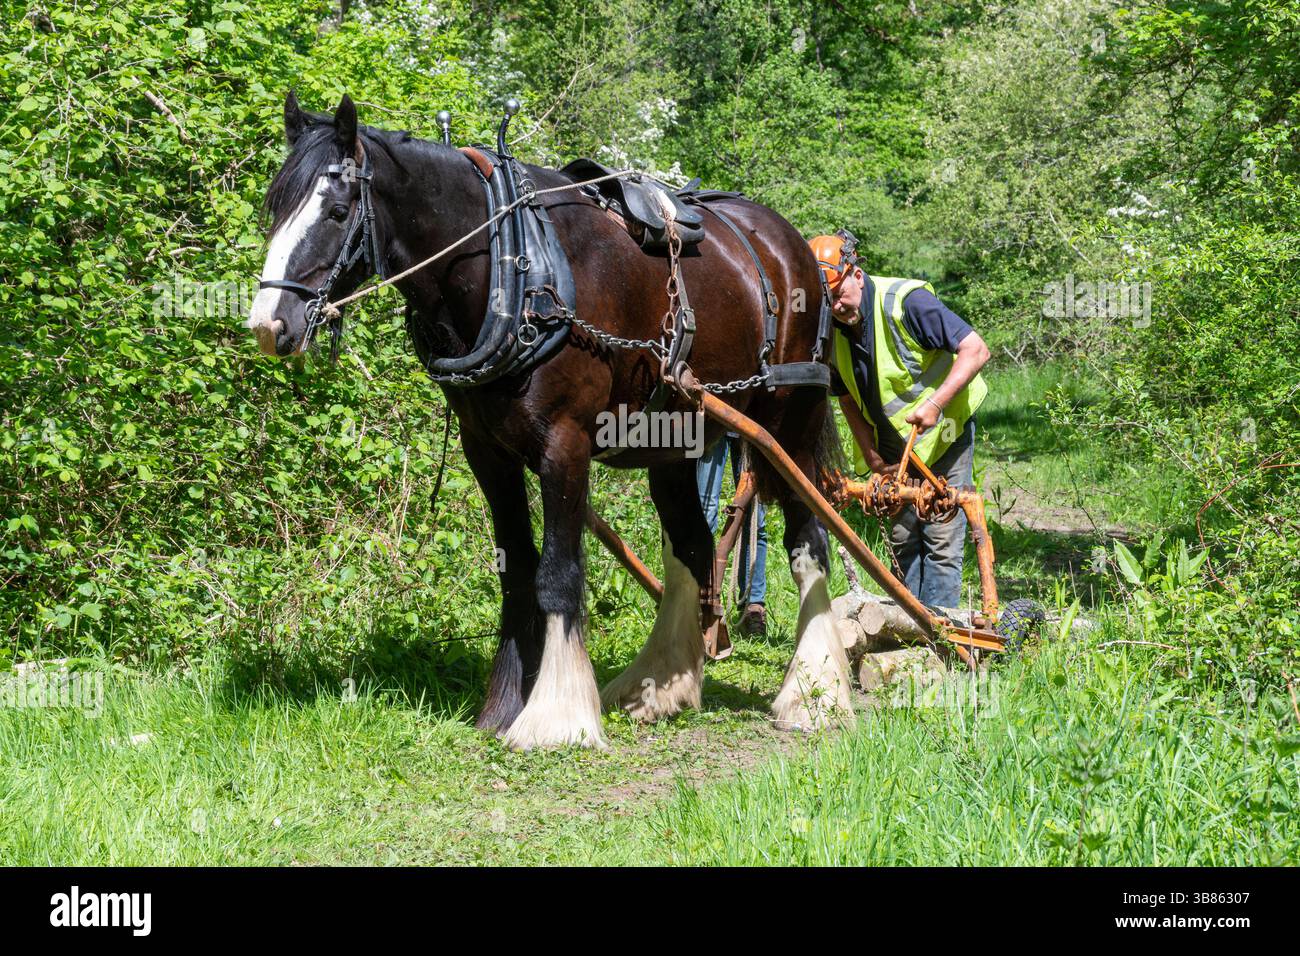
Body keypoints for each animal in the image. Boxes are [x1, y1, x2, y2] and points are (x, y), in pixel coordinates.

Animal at [246, 93, 853, 749]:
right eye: (274, 210)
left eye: (336, 211)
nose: (269, 325)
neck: (513, 265)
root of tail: (791, 246)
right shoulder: (487, 452)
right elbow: (517, 570)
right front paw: (503, 705)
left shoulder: (566, 444)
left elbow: (557, 574)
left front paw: (556, 717)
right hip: (674, 438)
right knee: (690, 545)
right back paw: (661, 684)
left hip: (785, 427)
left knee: (809, 541)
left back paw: (815, 693)